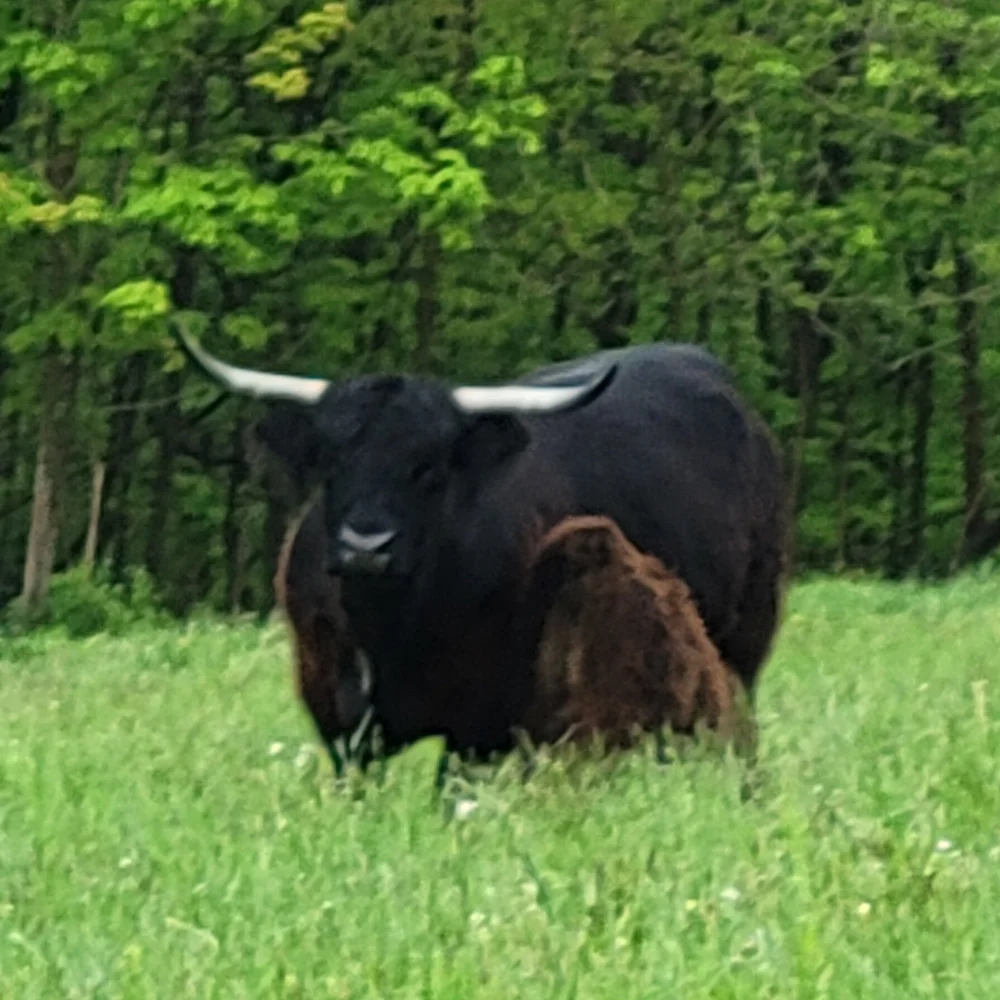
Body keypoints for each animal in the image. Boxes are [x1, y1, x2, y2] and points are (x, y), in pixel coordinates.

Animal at [174, 325, 788, 767]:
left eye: (429, 468)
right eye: (331, 462)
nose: (365, 546)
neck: (392, 631)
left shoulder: (480, 725)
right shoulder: (341, 722)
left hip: (744, 640)